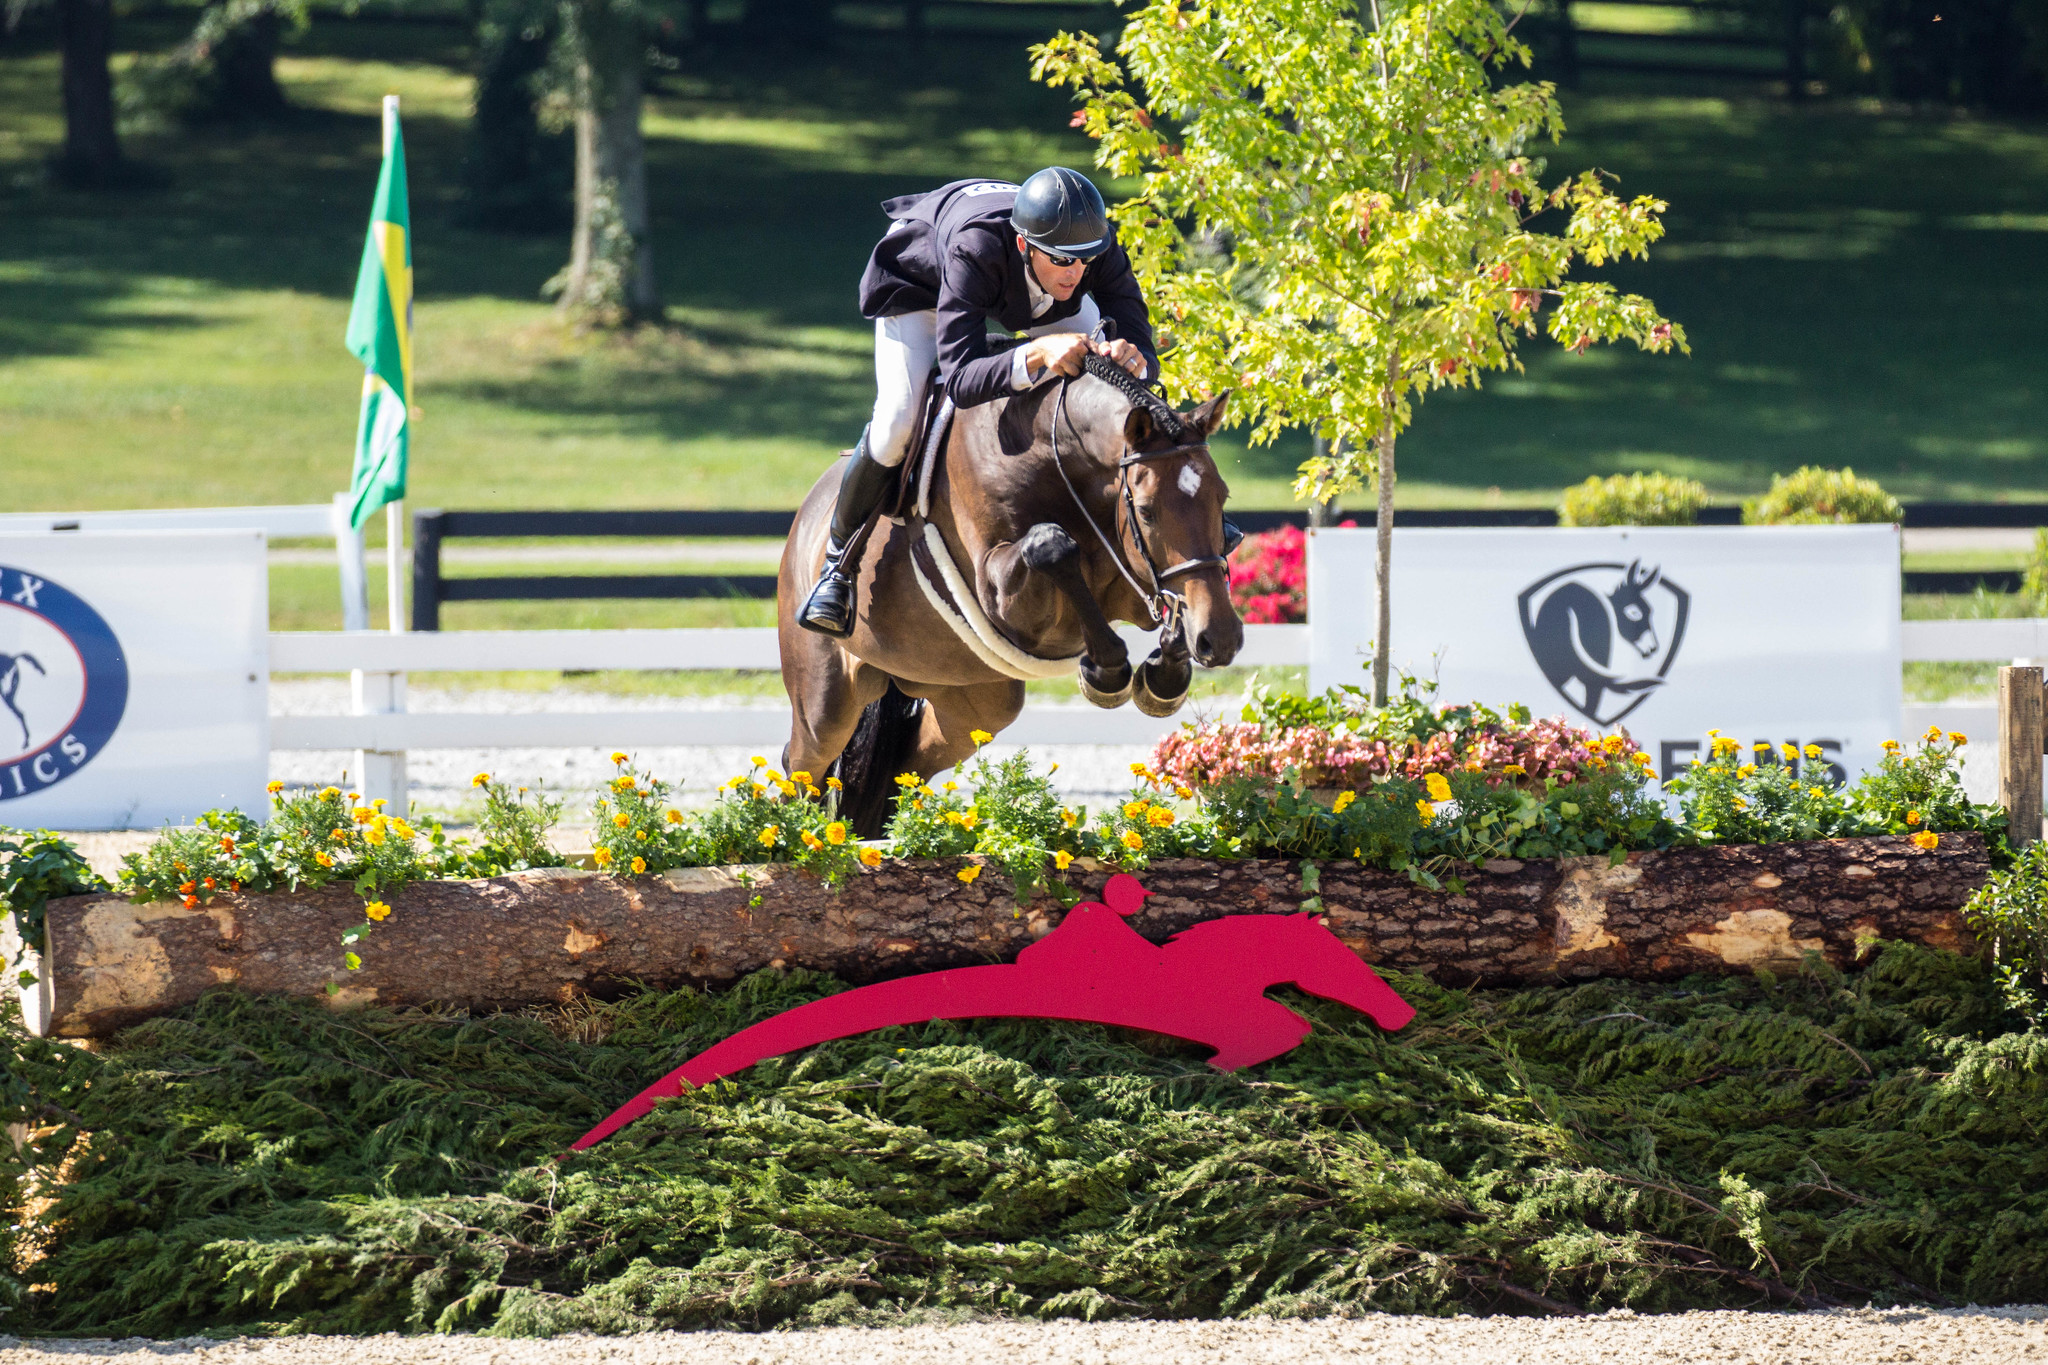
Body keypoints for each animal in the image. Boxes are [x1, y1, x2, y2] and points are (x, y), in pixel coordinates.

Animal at [778, 356, 1245, 834]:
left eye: (1221, 498)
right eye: (1147, 512)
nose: (1222, 640)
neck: (1056, 460)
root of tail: (807, 516)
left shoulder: (1139, 582)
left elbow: (1172, 600)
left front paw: (1165, 675)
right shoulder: (998, 596)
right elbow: (1053, 545)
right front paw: (1108, 671)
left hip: (974, 703)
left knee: (906, 766)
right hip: (825, 701)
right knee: (804, 765)